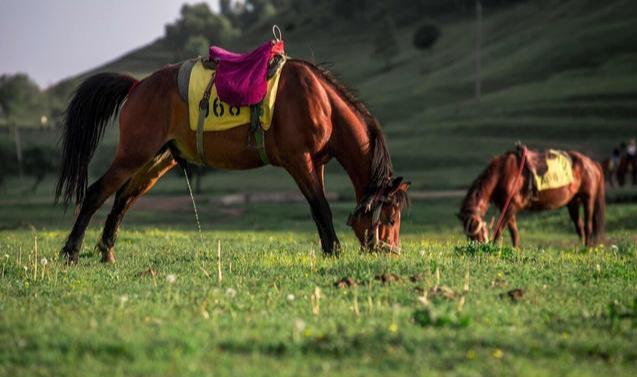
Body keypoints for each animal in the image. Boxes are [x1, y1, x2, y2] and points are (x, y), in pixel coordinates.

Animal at [57, 59, 410, 264]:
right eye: (391, 217)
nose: (392, 252)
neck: (321, 103)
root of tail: (138, 85)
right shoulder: (300, 162)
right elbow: (321, 207)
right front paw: (334, 250)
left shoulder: (316, 164)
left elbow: (317, 209)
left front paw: (328, 249)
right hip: (135, 153)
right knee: (96, 193)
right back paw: (70, 252)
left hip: (158, 159)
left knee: (123, 198)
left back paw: (107, 251)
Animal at [460, 147, 604, 247]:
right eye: (468, 236)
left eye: (477, 233)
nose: (478, 246)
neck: (502, 174)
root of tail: (592, 163)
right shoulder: (507, 207)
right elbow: (513, 230)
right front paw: (516, 249)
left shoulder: (511, 206)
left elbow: (500, 229)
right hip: (573, 202)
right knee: (579, 226)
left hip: (588, 199)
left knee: (588, 226)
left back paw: (588, 248)